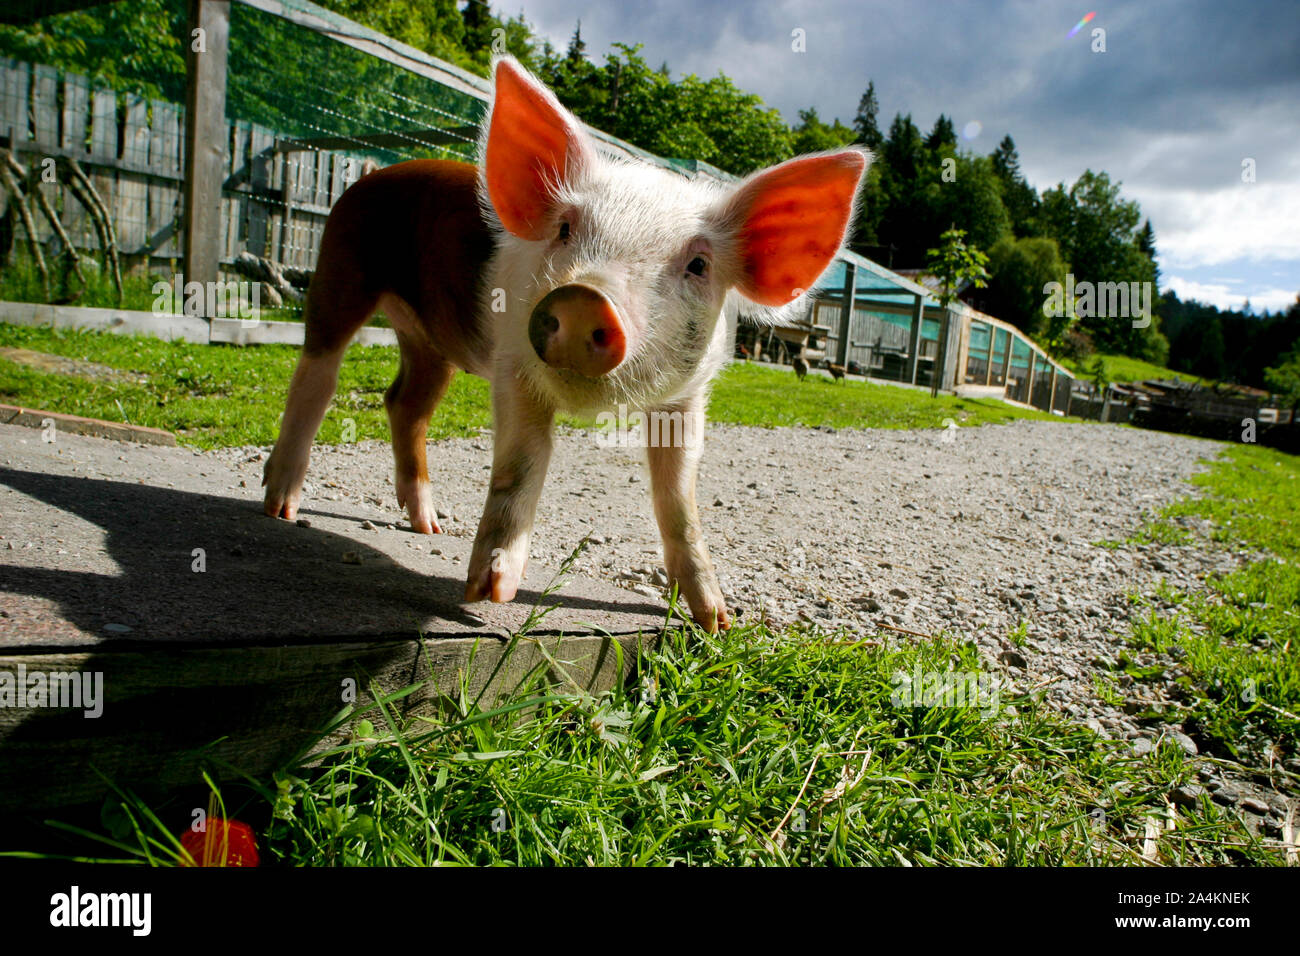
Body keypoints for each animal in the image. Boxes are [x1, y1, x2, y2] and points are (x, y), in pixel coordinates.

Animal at [263, 56, 867, 632]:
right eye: (565, 230)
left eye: (699, 264)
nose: (584, 296)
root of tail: (374, 172)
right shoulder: (513, 363)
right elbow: (524, 460)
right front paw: (487, 594)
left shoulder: (688, 395)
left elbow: (678, 497)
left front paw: (715, 620)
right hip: (340, 268)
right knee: (317, 375)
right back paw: (280, 510)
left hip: (429, 339)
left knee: (404, 403)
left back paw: (429, 525)